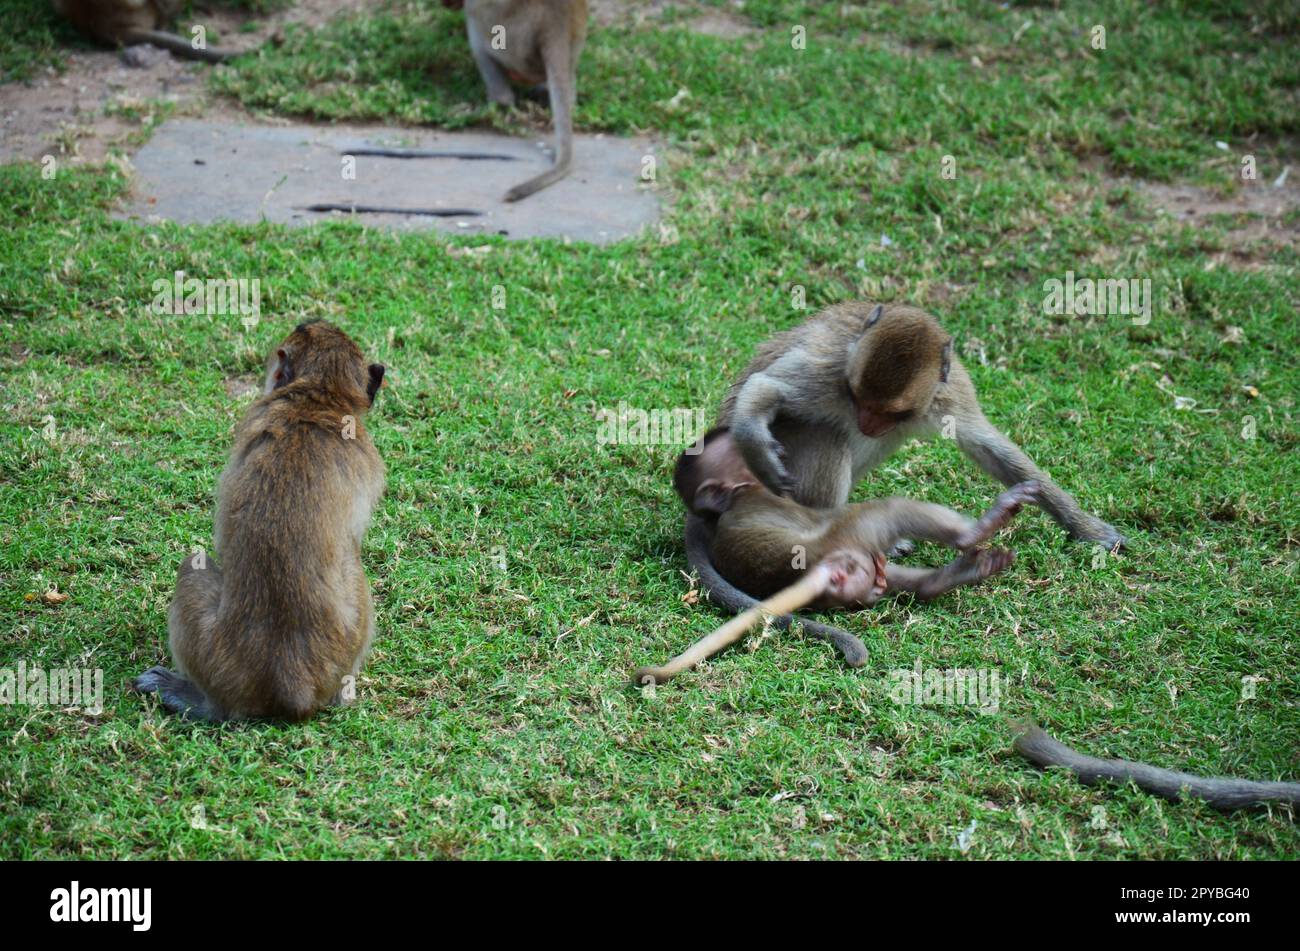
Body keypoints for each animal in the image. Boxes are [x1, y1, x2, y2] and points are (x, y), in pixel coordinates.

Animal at [642, 427, 1041, 684]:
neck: (736, 495)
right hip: (849, 535)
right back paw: (980, 528)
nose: (776, 447)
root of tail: (820, 570)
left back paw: (952, 576)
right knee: (888, 511)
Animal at [683, 301, 1125, 645]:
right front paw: (756, 445)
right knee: (828, 435)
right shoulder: (829, 377)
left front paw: (1086, 528)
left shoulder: (950, 391)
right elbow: (764, 388)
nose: (867, 422)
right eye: (859, 398)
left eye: (890, 411)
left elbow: (992, 450)